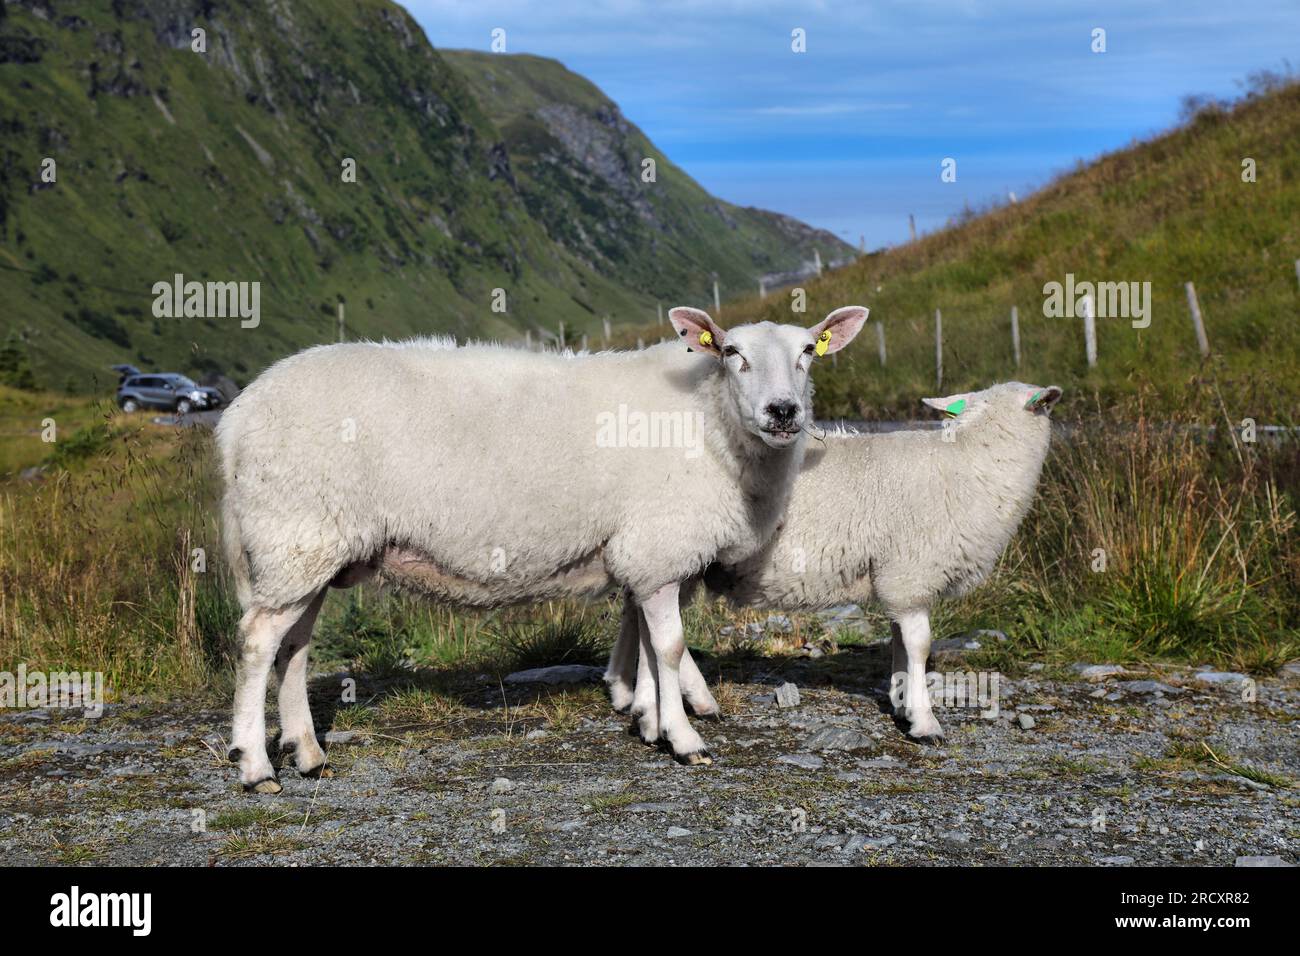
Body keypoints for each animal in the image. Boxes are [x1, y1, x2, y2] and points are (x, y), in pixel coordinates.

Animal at [217, 306, 868, 791]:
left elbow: (645, 638)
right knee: (257, 642)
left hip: (309, 548)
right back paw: (255, 765)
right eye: (733, 353)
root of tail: (235, 417)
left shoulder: (641, 549)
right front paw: (683, 738)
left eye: (808, 352)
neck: (710, 422)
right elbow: (668, 644)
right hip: (294, 531)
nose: (783, 412)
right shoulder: (660, 545)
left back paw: (306, 751)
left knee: (295, 646)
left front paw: (648, 716)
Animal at [605, 381, 1062, 742]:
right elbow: (919, 644)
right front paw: (924, 721)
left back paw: (642, 695)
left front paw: (901, 702)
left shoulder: (892, 574)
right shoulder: (910, 573)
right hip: (675, 548)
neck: (972, 462)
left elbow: (898, 640)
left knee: (638, 611)